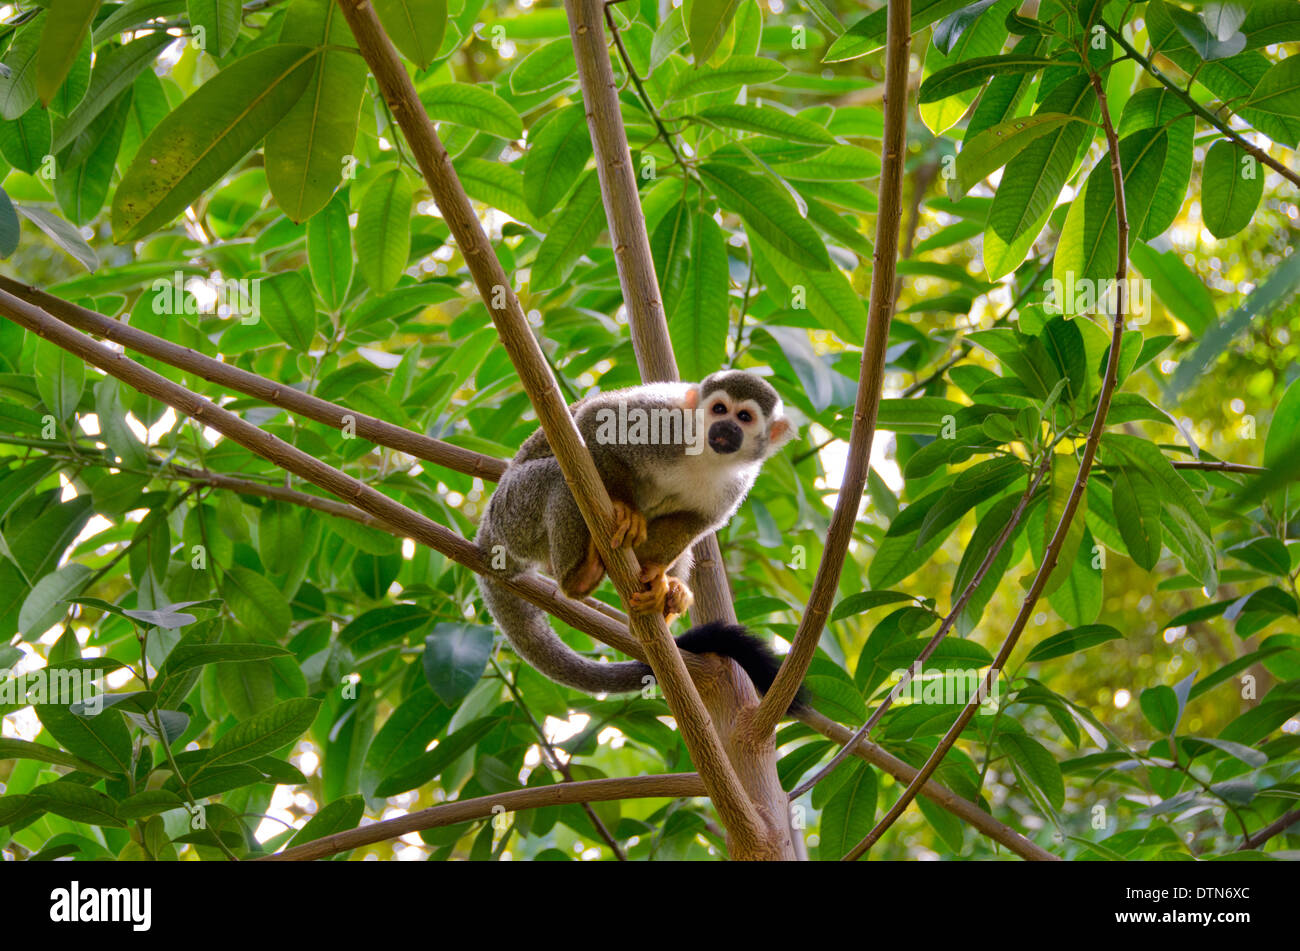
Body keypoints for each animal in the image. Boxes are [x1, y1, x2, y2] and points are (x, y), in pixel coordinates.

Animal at [475, 369, 803, 707]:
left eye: (744, 417)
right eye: (720, 409)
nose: (726, 427)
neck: (705, 456)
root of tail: (488, 528)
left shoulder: (738, 484)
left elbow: (697, 522)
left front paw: (655, 574)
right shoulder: (665, 422)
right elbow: (594, 422)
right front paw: (627, 508)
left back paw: (666, 600)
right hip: (516, 510)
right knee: (561, 475)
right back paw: (578, 578)